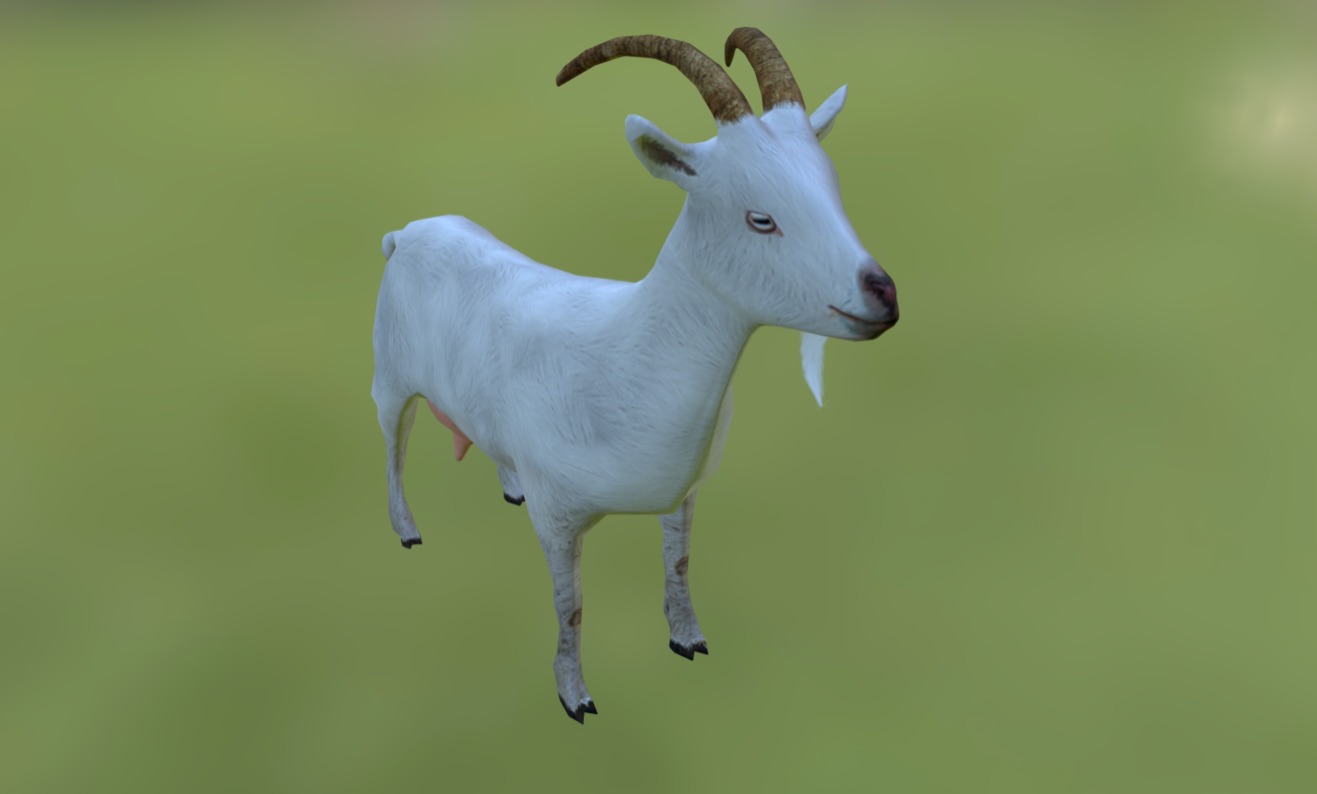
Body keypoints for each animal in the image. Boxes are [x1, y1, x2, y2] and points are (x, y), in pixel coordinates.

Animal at [371, 28, 899, 723]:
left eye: (832, 189)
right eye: (760, 218)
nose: (883, 296)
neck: (629, 354)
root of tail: (406, 231)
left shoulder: (683, 492)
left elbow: (679, 563)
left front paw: (688, 639)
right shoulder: (559, 522)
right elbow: (570, 606)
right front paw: (575, 697)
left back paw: (509, 486)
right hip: (389, 377)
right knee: (393, 445)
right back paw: (406, 531)